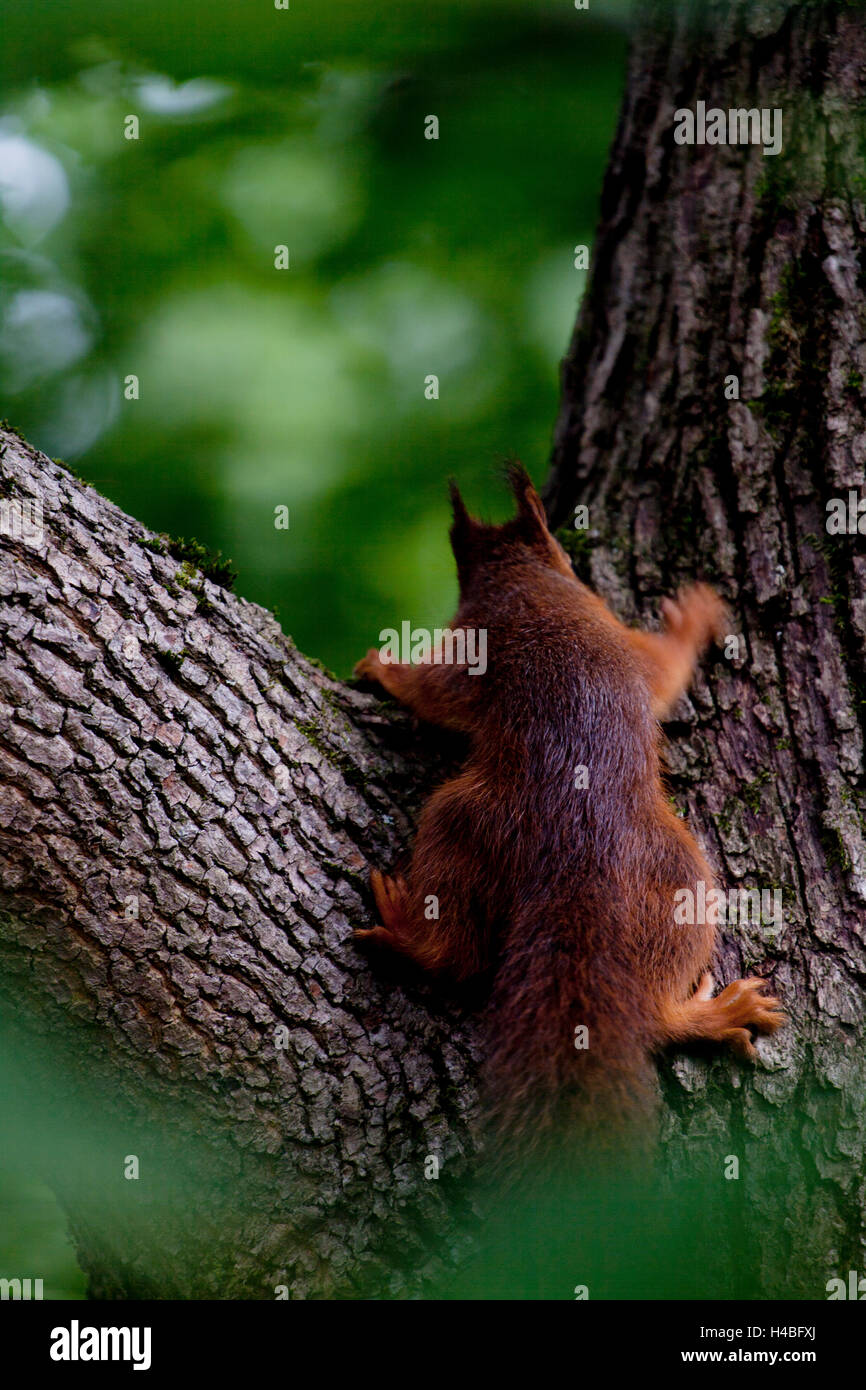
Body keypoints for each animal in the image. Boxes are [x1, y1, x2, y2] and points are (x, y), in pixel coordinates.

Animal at [354, 464, 785, 1152]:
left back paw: (406, 927)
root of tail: (577, 856)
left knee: (455, 954)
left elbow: (430, 691)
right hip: (683, 881)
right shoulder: (628, 652)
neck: (525, 581)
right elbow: (665, 670)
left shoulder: (466, 652)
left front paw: (381, 668)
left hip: (463, 823)